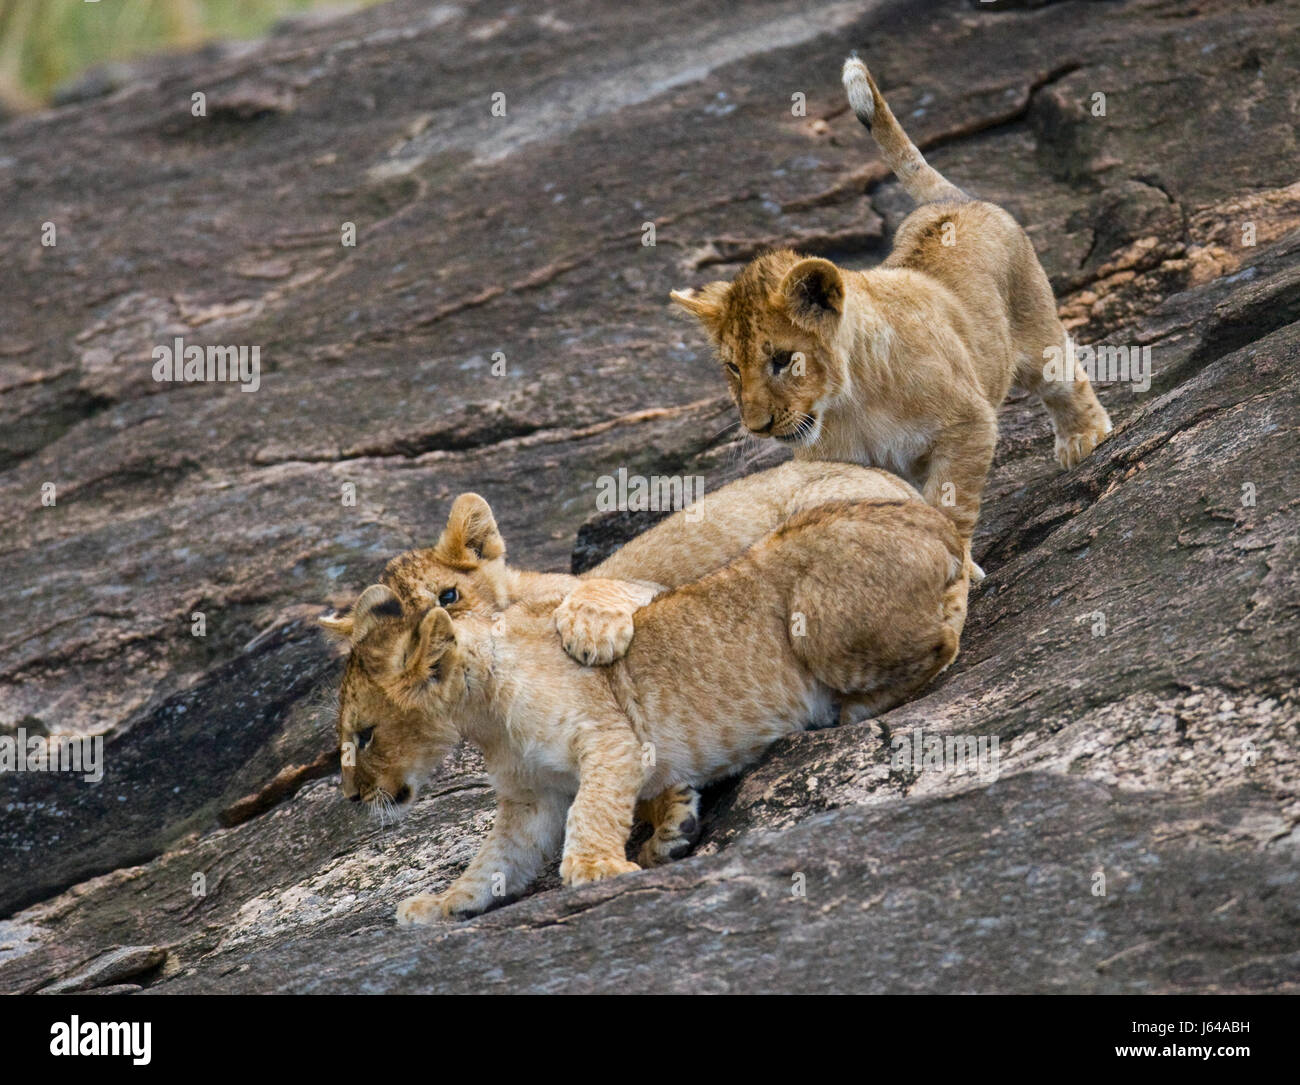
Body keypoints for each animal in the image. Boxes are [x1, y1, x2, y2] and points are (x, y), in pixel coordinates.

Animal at [670, 56, 1112, 566]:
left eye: (783, 359)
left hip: (1035, 328)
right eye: (732, 368)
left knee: (1063, 377)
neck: (852, 401)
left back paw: (1083, 437)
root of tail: (949, 202)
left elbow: (950, 500)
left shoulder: (969, 424)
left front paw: (953, 563)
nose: (756, 427)